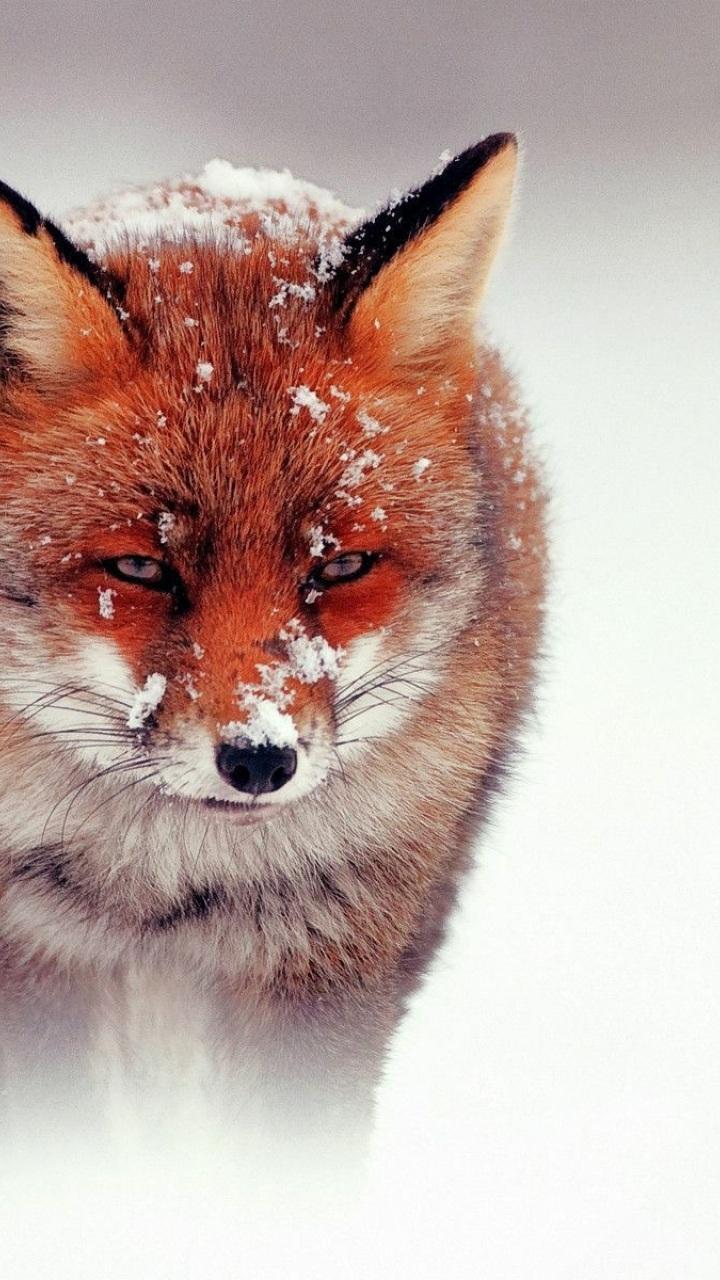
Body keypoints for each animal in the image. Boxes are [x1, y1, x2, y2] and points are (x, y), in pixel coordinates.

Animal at [0, 133, 545, 1146]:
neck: (168, 887)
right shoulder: (35, 957)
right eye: (140, 569)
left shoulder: (326, 964)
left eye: (342, 567)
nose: (259, 760)